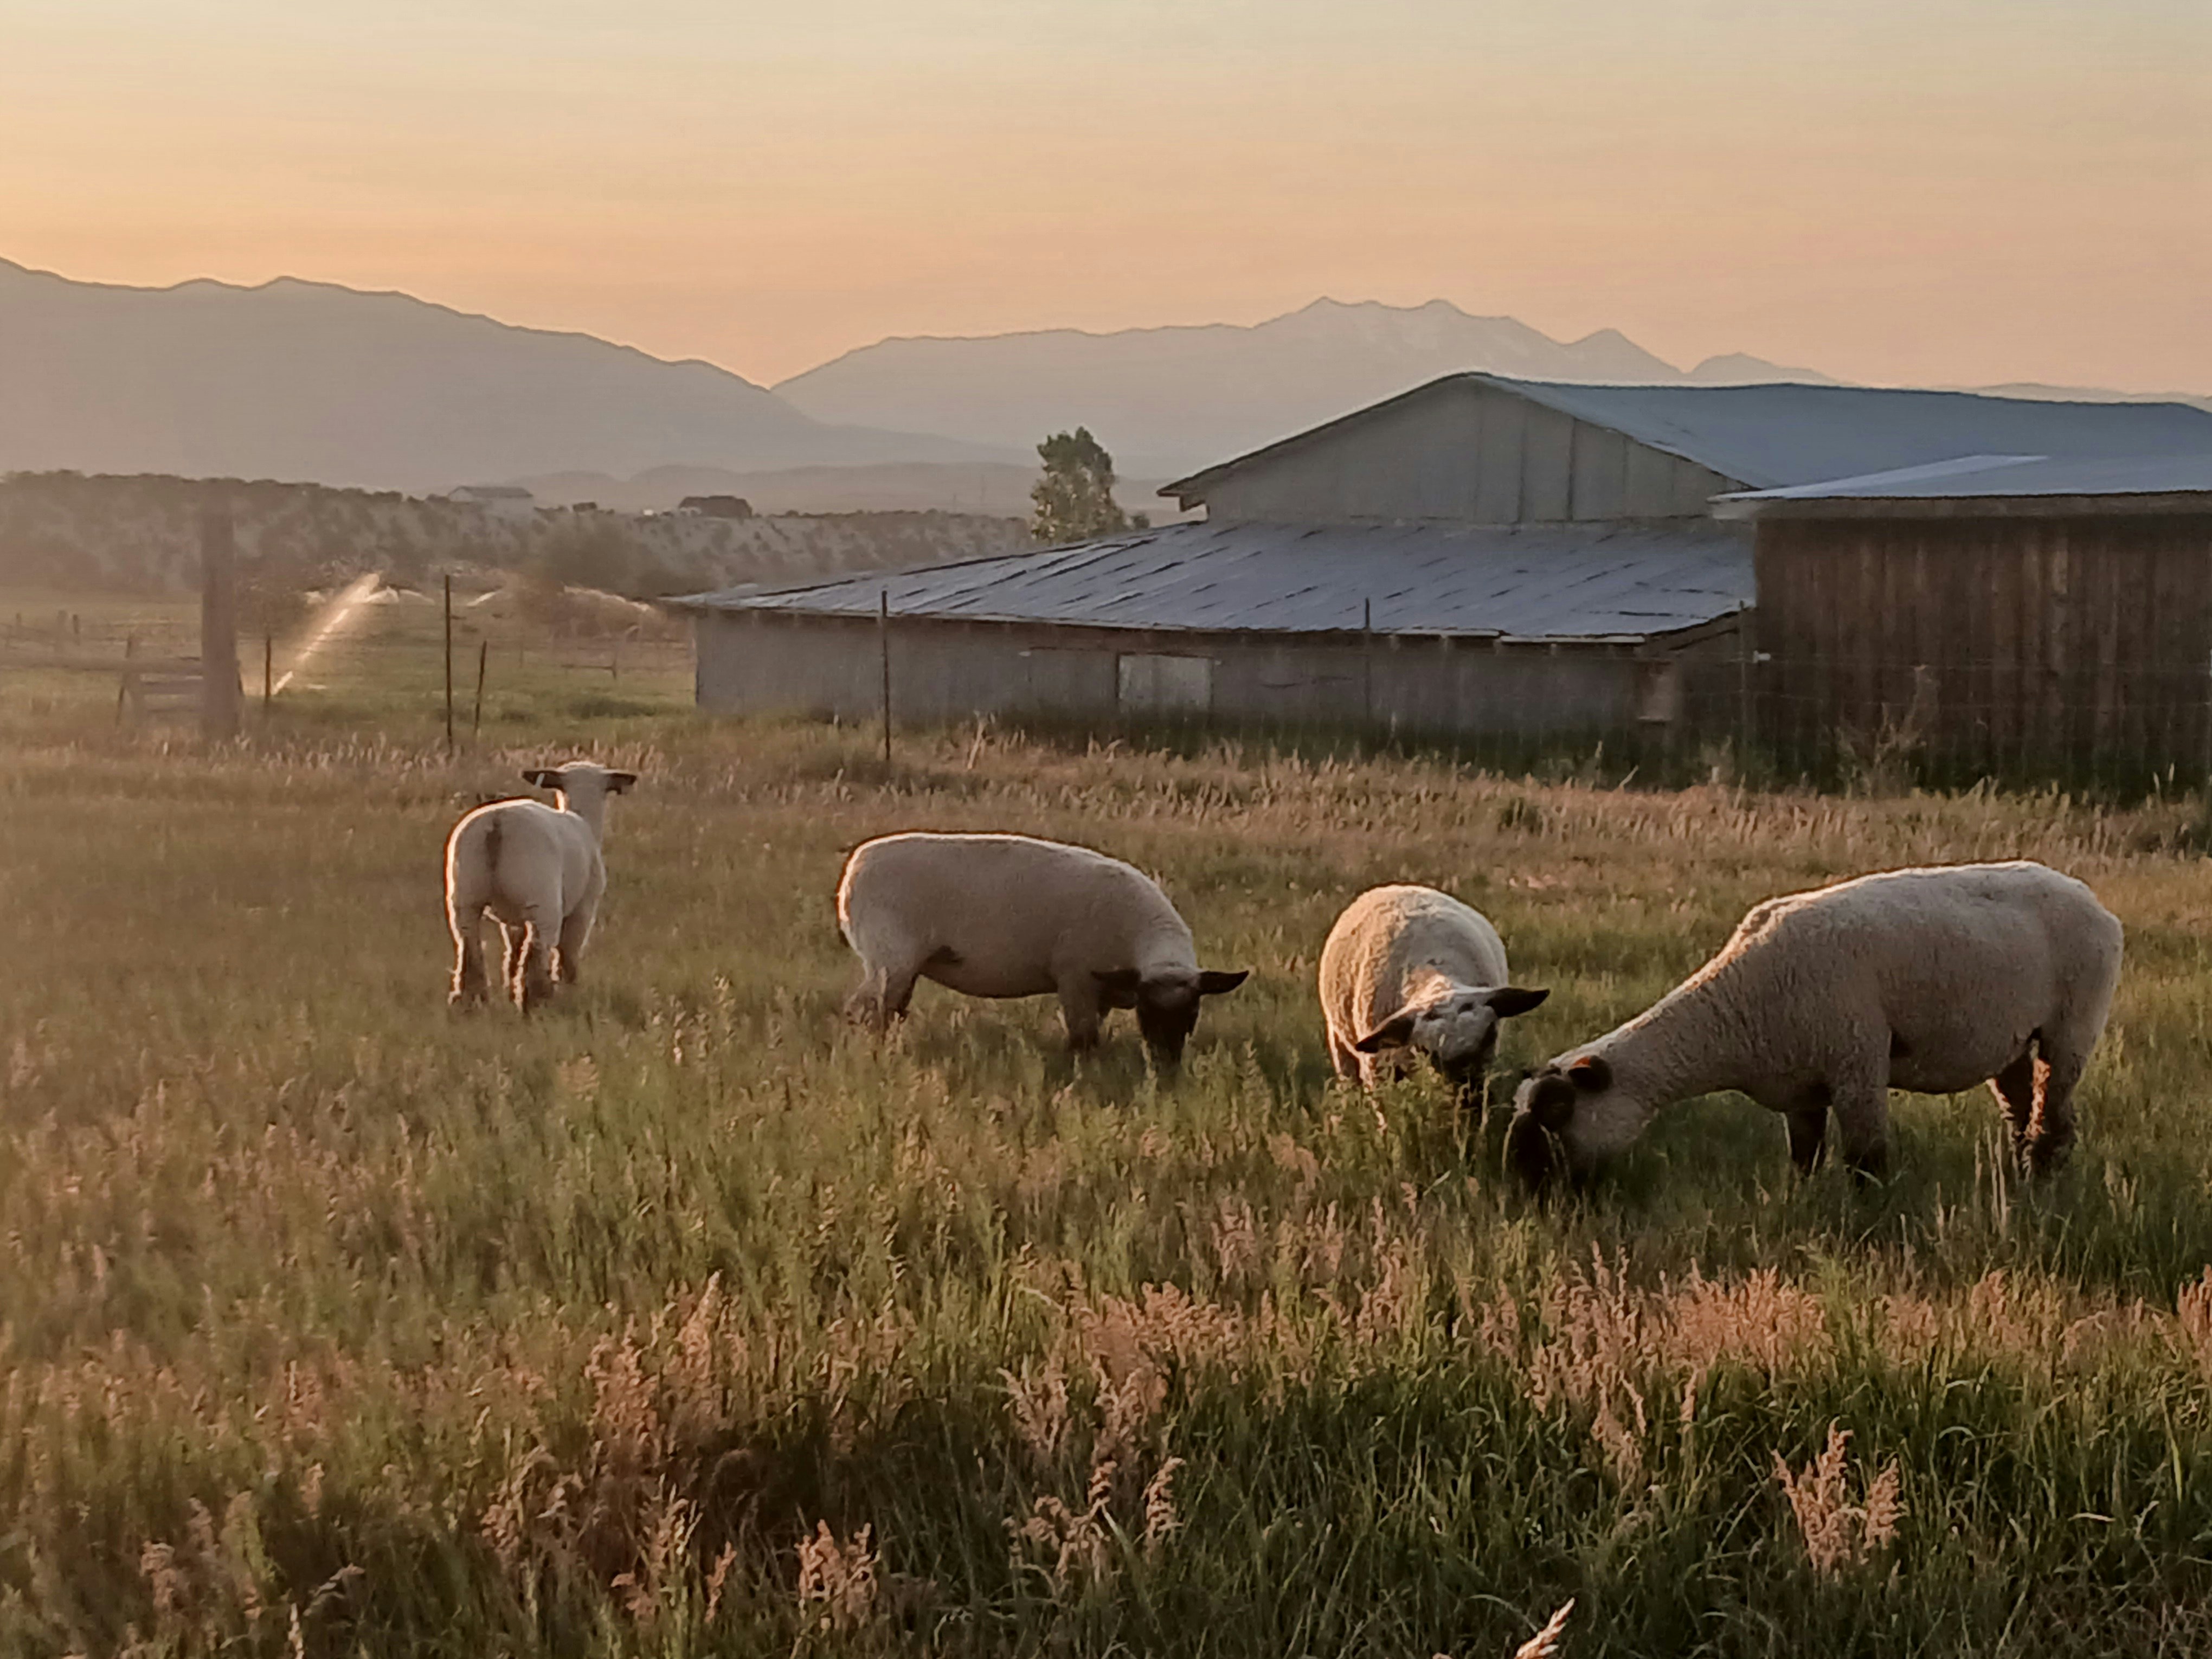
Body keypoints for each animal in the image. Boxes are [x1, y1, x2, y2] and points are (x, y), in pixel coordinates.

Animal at [445, 762, 637, 1011]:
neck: (583, 818)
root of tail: (497, 823)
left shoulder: (513, 919)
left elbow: (514, 952)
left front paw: (510, 990)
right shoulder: (584, 907)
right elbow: (569, 953)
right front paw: (571, 990)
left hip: (465, 897)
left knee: (470, 949)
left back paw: (472, 1002)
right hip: (543, 900)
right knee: (538, 953)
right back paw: (536, 1002)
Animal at [836, 831, 1249, 1066]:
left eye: (1194, 1011)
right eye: (1146, 1013)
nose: (1167, 1064)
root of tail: (853, 870)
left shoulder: (1098, 990)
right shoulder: (1076, 979)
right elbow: (1083, 1040)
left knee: (885, 1012)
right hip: (889, 957)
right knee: (866, 1012)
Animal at [1506, 860, 2122, 1189]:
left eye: (1559, 1116)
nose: (1528, 1192)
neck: (1733, 1012)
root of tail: (2093, 899)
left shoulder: (1857, 1064)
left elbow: (1868, 1161)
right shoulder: (1799, 1092)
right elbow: (1803, 1160)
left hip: (2071, 1026)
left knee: (2055, 1118)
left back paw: (2043, 1182)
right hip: (2011, 1040)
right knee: (2021, 1111)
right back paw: (2022, 1177)